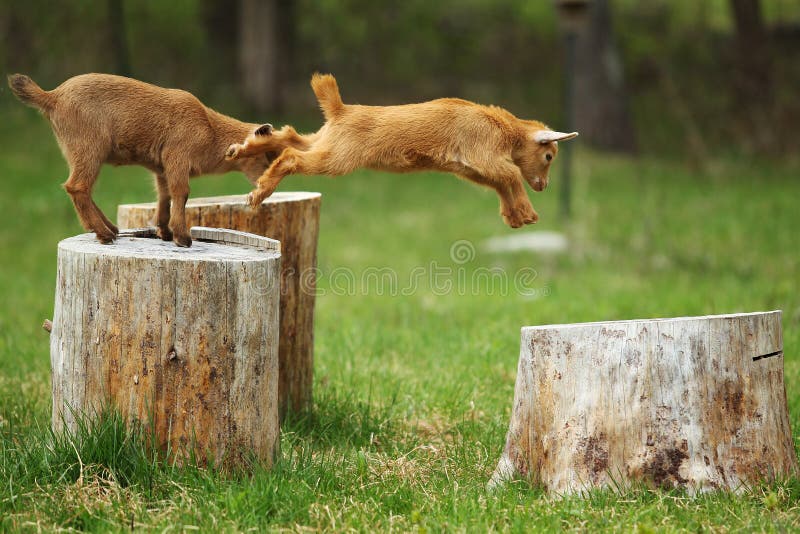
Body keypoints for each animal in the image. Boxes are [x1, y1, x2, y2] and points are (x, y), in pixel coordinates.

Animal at [8, 73, 275, 246]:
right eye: (267, 154)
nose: (268, 186)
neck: (209, 129)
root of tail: (52, 96)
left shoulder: (161, 168)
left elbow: (164, 196)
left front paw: (165, 232)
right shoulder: (177, 157)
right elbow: (181, 193)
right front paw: (183, 238)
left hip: (76, 151)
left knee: (81, 187)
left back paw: (111, 229)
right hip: (89, 148)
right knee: (77, 186)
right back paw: (105, 234)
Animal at [225, 74, 577, 228]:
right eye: (549, 157)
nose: (543, 186)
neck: (502, 127)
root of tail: (340, 110)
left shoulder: (472, 168)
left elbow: (501, 181)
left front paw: (514, 217)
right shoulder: (483, 154)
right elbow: (512, 174)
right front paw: (528, 213)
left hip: (326, 141)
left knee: (290, 137)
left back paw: (243, 148)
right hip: (338, 157)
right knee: (292, 156)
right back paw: (259, 192)